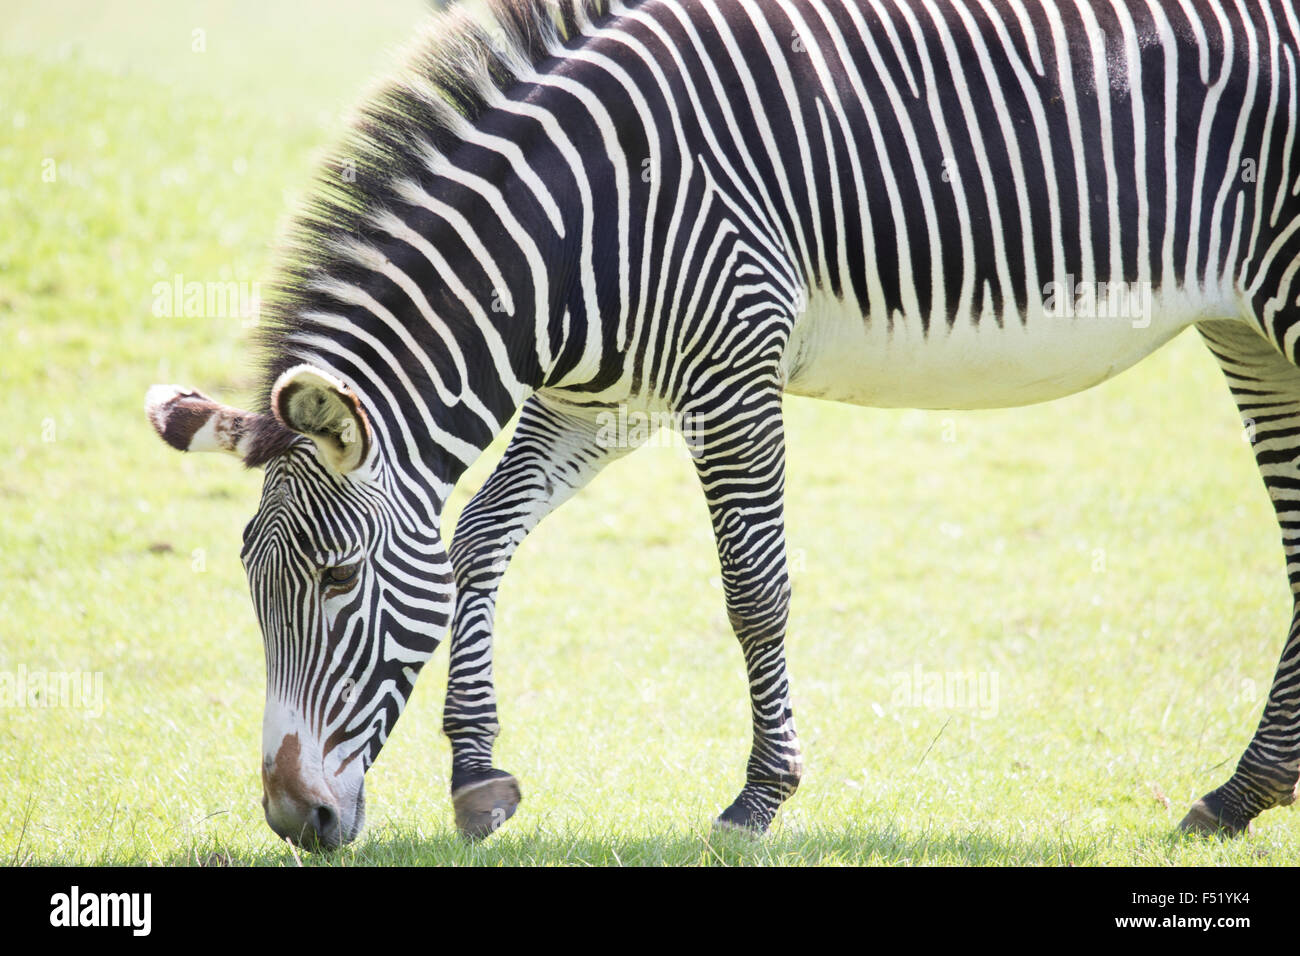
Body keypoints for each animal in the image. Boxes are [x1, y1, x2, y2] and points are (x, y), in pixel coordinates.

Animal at [144, 0, 1300, 849]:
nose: (293, 820)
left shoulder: (733, 371)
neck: (587, 218)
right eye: (249, 583)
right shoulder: (602, 400)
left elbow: (754, 589)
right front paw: (478, 774)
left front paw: (759, 797)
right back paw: (1242, 792)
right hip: (1247, 328)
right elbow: (479, 537)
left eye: (338, 581)